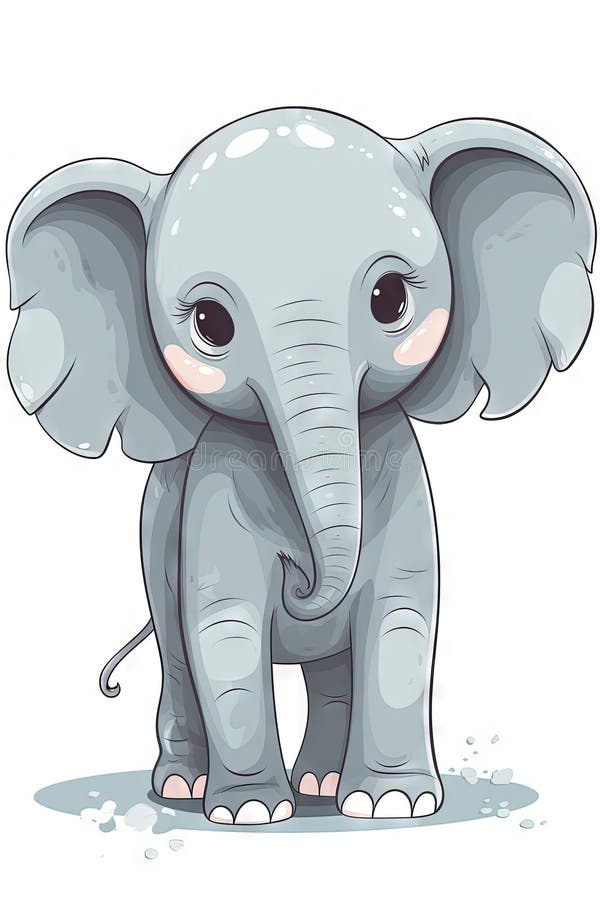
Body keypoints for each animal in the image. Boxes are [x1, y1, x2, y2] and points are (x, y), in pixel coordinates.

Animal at [7, 108, 595, 826]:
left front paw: (393, 805)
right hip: (151, 547)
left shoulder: (396, 468)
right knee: (178, 655)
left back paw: (322, 786)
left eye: (390, 299)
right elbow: (224, 631)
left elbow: (400, 619)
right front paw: (250, 814)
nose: (300, 579)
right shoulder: (216, 486)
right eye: (210, 323)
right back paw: (184, 788)